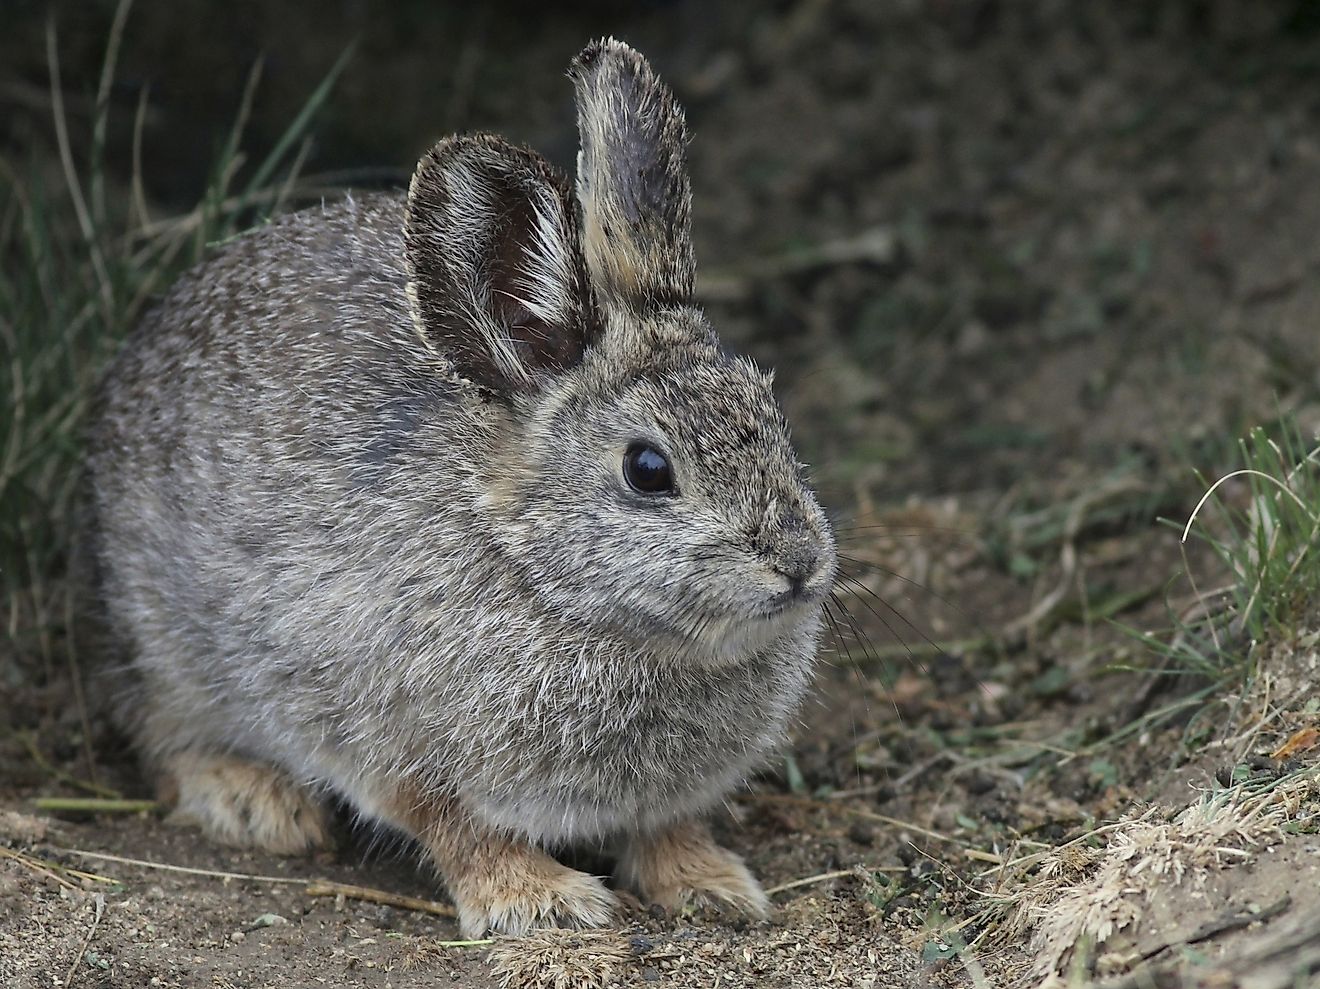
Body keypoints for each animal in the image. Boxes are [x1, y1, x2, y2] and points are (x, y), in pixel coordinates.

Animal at [84, 38, 837, 938]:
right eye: (648, 470)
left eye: (774, 414)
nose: (799, 562)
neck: (542, 579)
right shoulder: (390, 742)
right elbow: (459, 827)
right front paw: (541, 901)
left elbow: (666, 825)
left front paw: (711, 883)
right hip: (163, 643)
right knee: (160, 735)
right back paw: (254, 801)